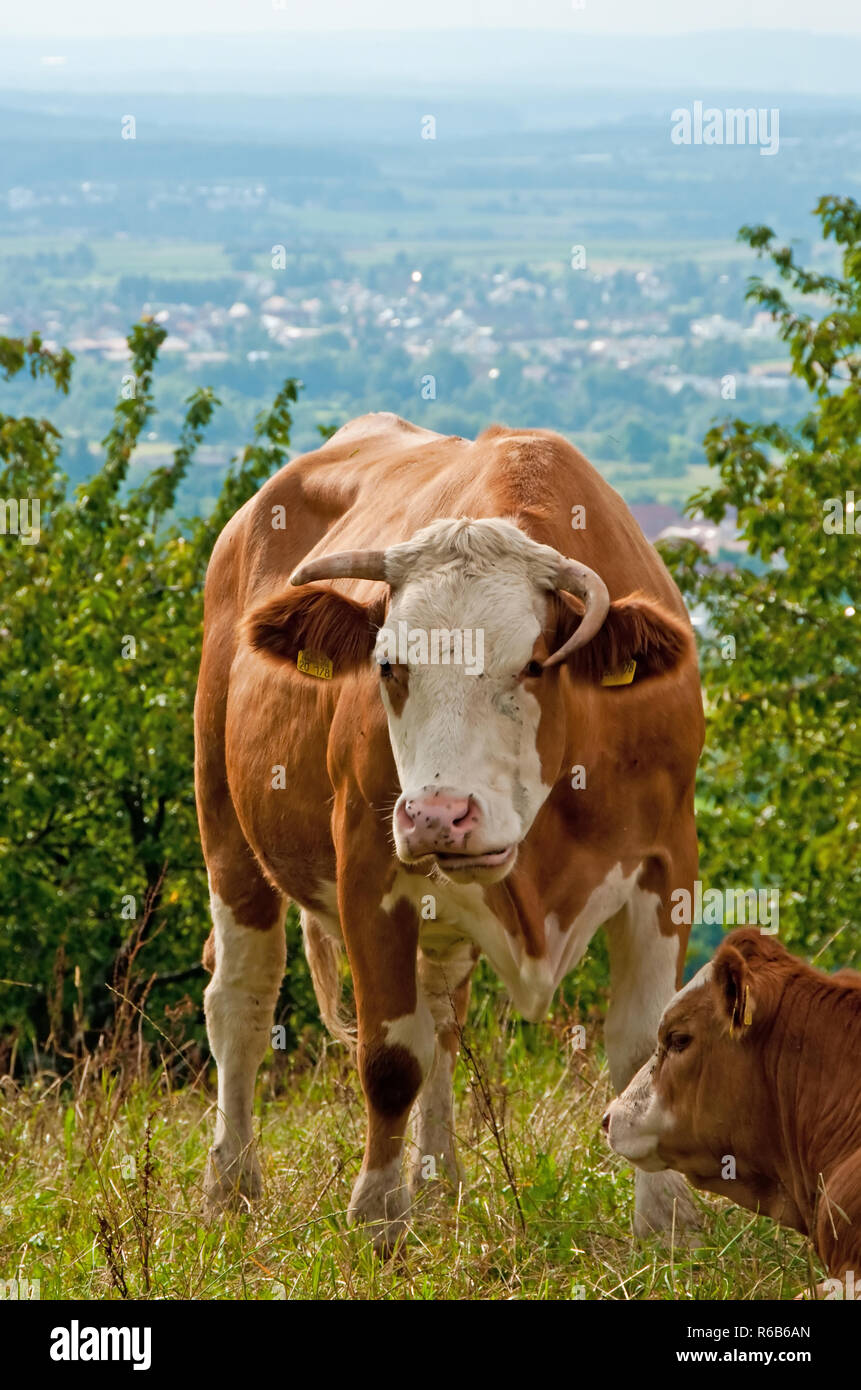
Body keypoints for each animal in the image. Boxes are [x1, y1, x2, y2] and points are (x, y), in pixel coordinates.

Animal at [194, 412, 705, 1249]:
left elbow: (640, 1044)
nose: (436, 814)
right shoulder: (370, 869)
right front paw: (377, 1217)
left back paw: (440, 1186)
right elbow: (389, 1058)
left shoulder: (667, 862)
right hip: (227, 828)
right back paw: (231, 1186)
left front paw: (667, 1223)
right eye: (388, 665)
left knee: (439, 1016)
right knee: (241, 997)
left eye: (533, 665)